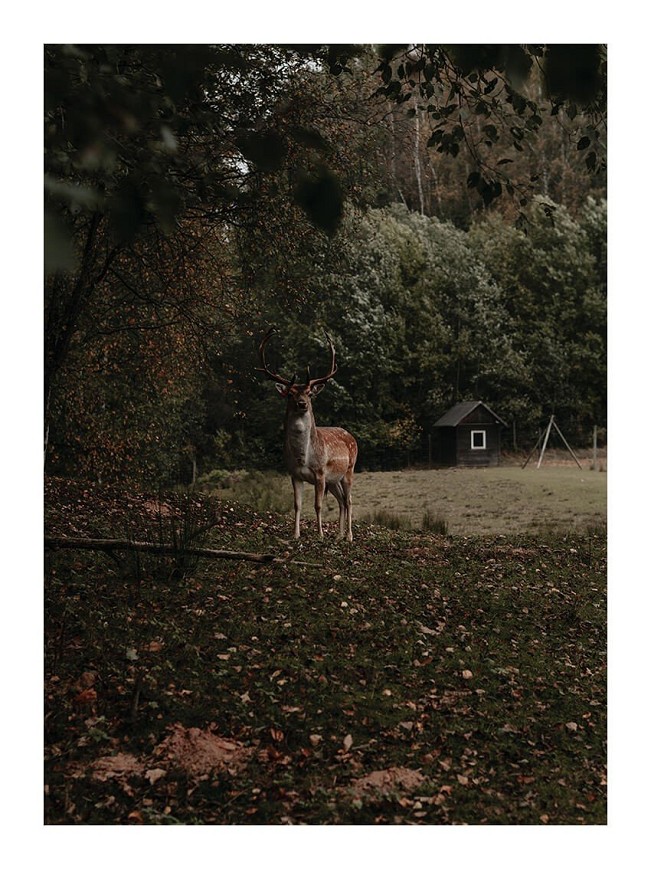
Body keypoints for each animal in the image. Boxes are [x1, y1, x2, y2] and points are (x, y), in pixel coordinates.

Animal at [256, 328, 358, 542]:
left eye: (309, 393)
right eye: (290, 394)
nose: (302, 404)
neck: (303, 457)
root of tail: (351, 437)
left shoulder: (320, 473)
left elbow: (317, 505)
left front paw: (319, 534)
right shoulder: (294, 474)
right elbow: (297, 505)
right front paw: (295, 534)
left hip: (349, 470)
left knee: (350, 500)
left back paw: (349, 537)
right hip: (333, 480)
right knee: (341, 501)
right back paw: (339, 536)